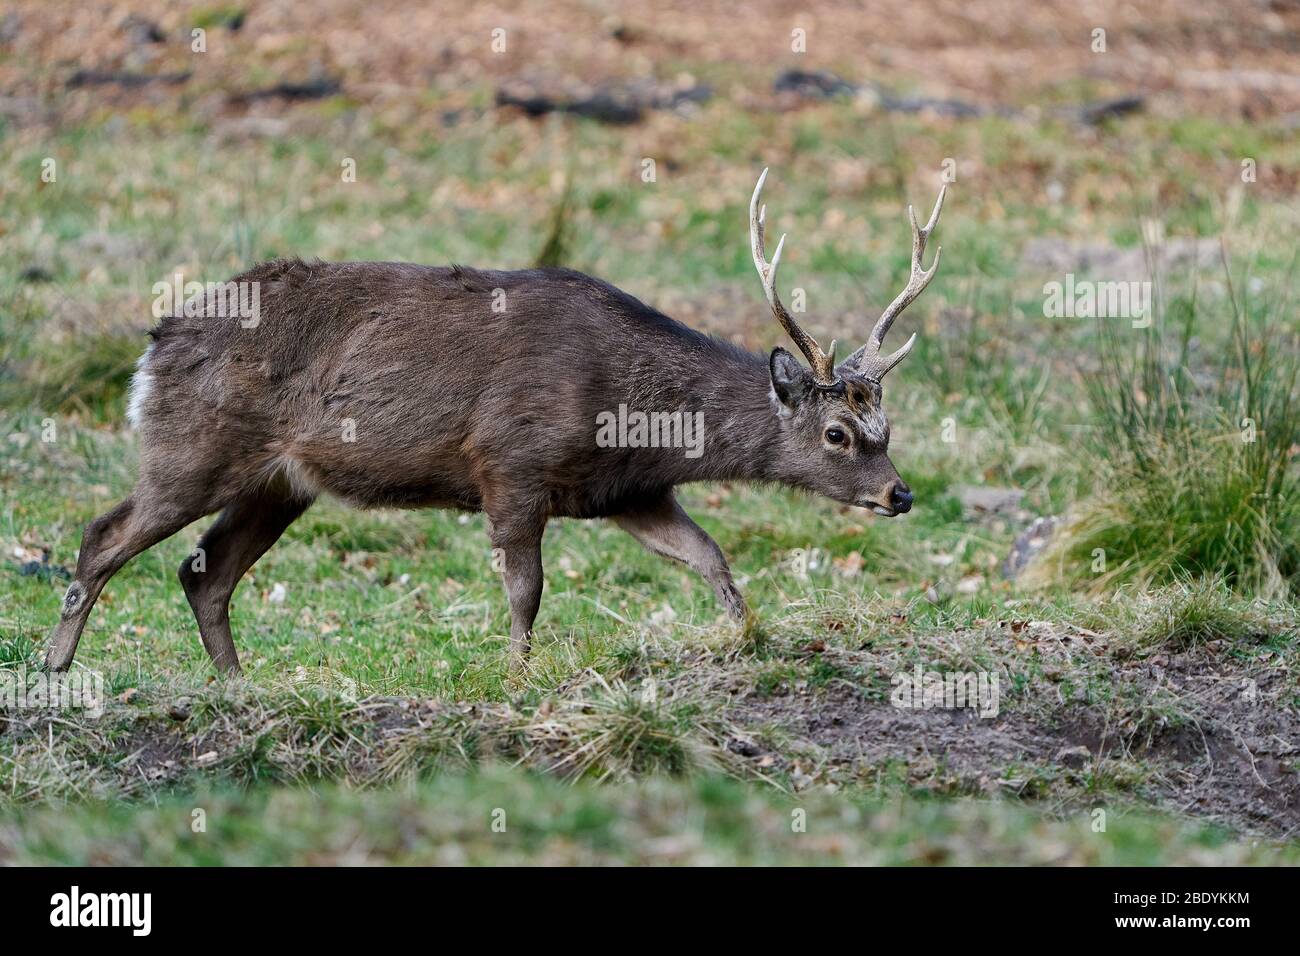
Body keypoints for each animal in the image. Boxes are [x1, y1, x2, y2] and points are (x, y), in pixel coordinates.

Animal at [45, 169, 946, 677]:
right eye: (837, 434)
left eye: (888, 426)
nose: (899, 495)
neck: (628, 413)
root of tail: (155, 343)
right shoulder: (510, 461)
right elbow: (526, 588)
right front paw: (516, 675)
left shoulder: (627, 491)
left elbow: (708, 557)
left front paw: (746, 638)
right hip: (192, 445)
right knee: (103, 533)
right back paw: (56, 665)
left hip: (280, 483)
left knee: (204, 573)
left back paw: (238, 686)